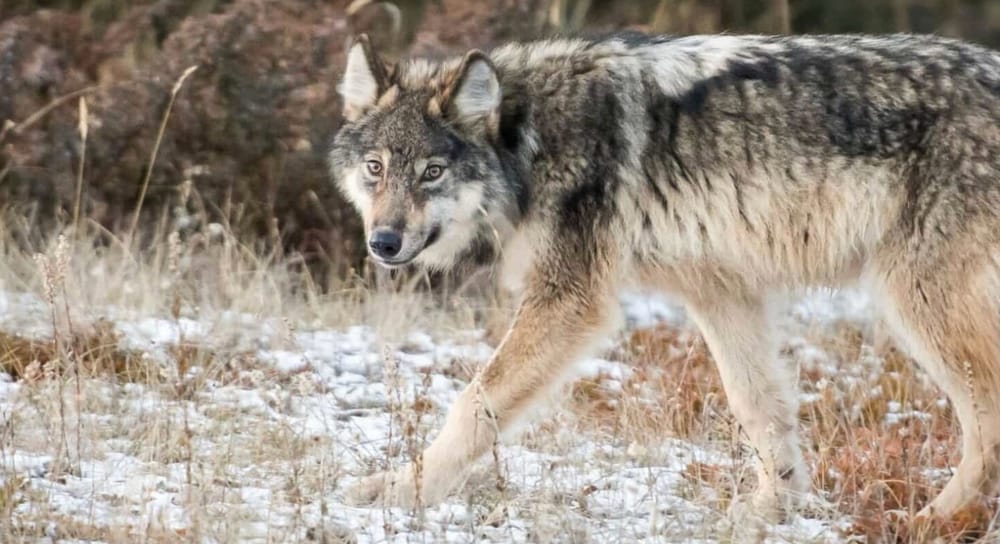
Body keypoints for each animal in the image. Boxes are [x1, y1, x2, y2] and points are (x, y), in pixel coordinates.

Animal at [328, 31, 1000, 522]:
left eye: (432, 172)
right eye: (376, 168)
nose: (383, 243)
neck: (531, 142)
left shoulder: (569, 302)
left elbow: (473, 404)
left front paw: (404, 493)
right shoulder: (721, 291)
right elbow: (758, 407)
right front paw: (770, 510)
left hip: (918, 303)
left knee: (984, 425)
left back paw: (931, 520)